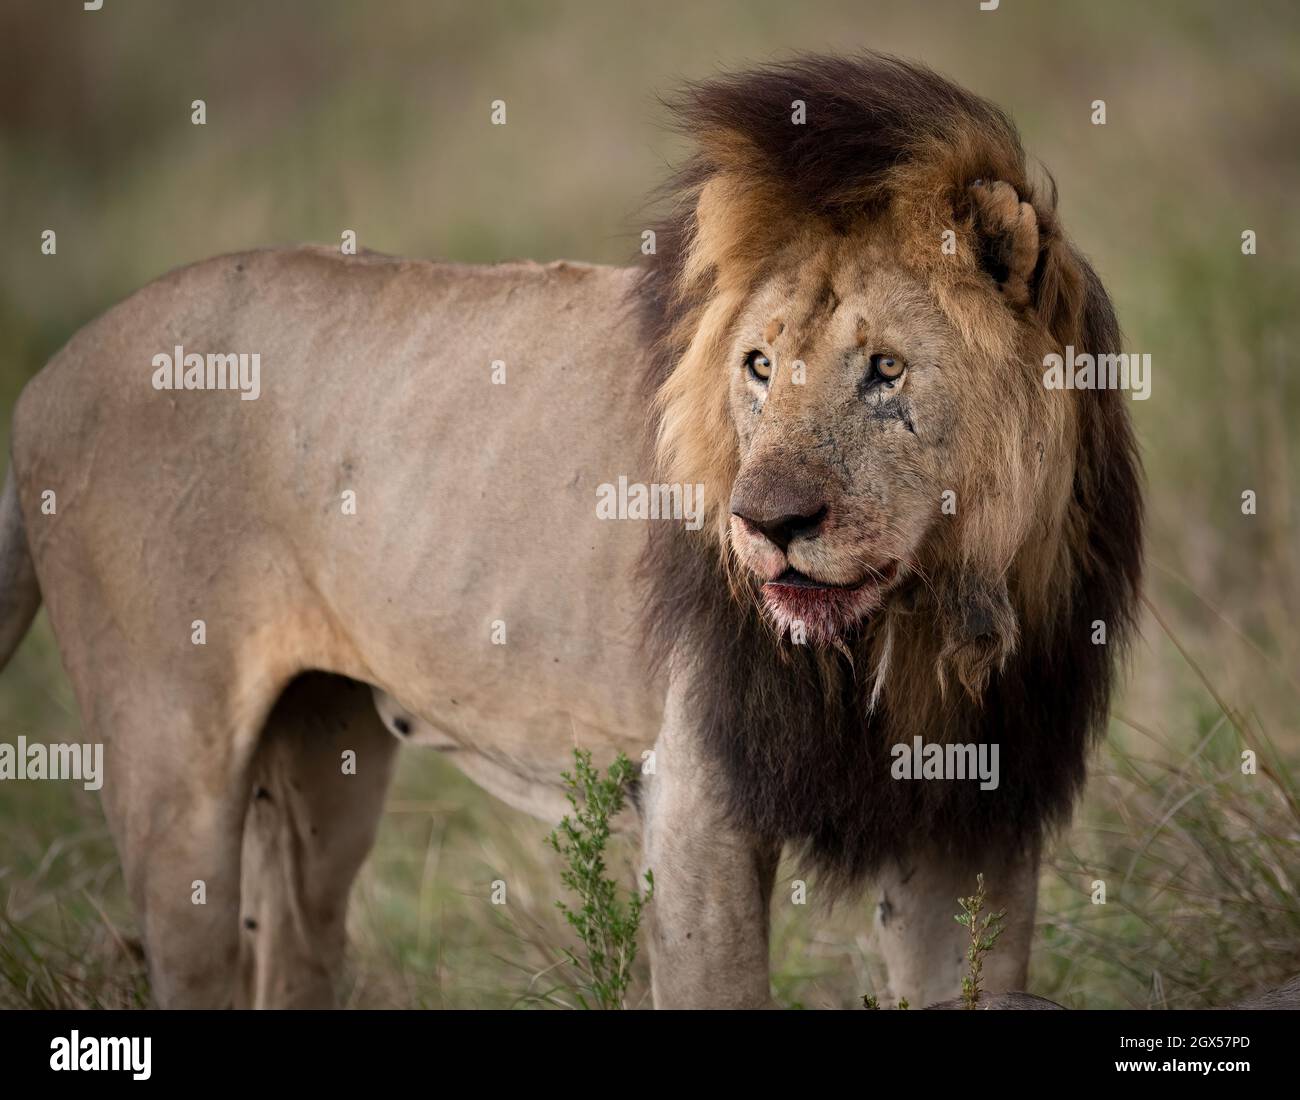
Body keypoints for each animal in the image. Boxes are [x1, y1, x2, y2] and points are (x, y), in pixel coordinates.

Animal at [0, 52, 1141, 1009]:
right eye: (759, 366)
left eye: (887, 370)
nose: (763, 523)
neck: (931, 622)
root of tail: (48, 375)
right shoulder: (696, 798)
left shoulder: (977, 819)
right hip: (172, 768)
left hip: (324, 754)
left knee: (296, 947)